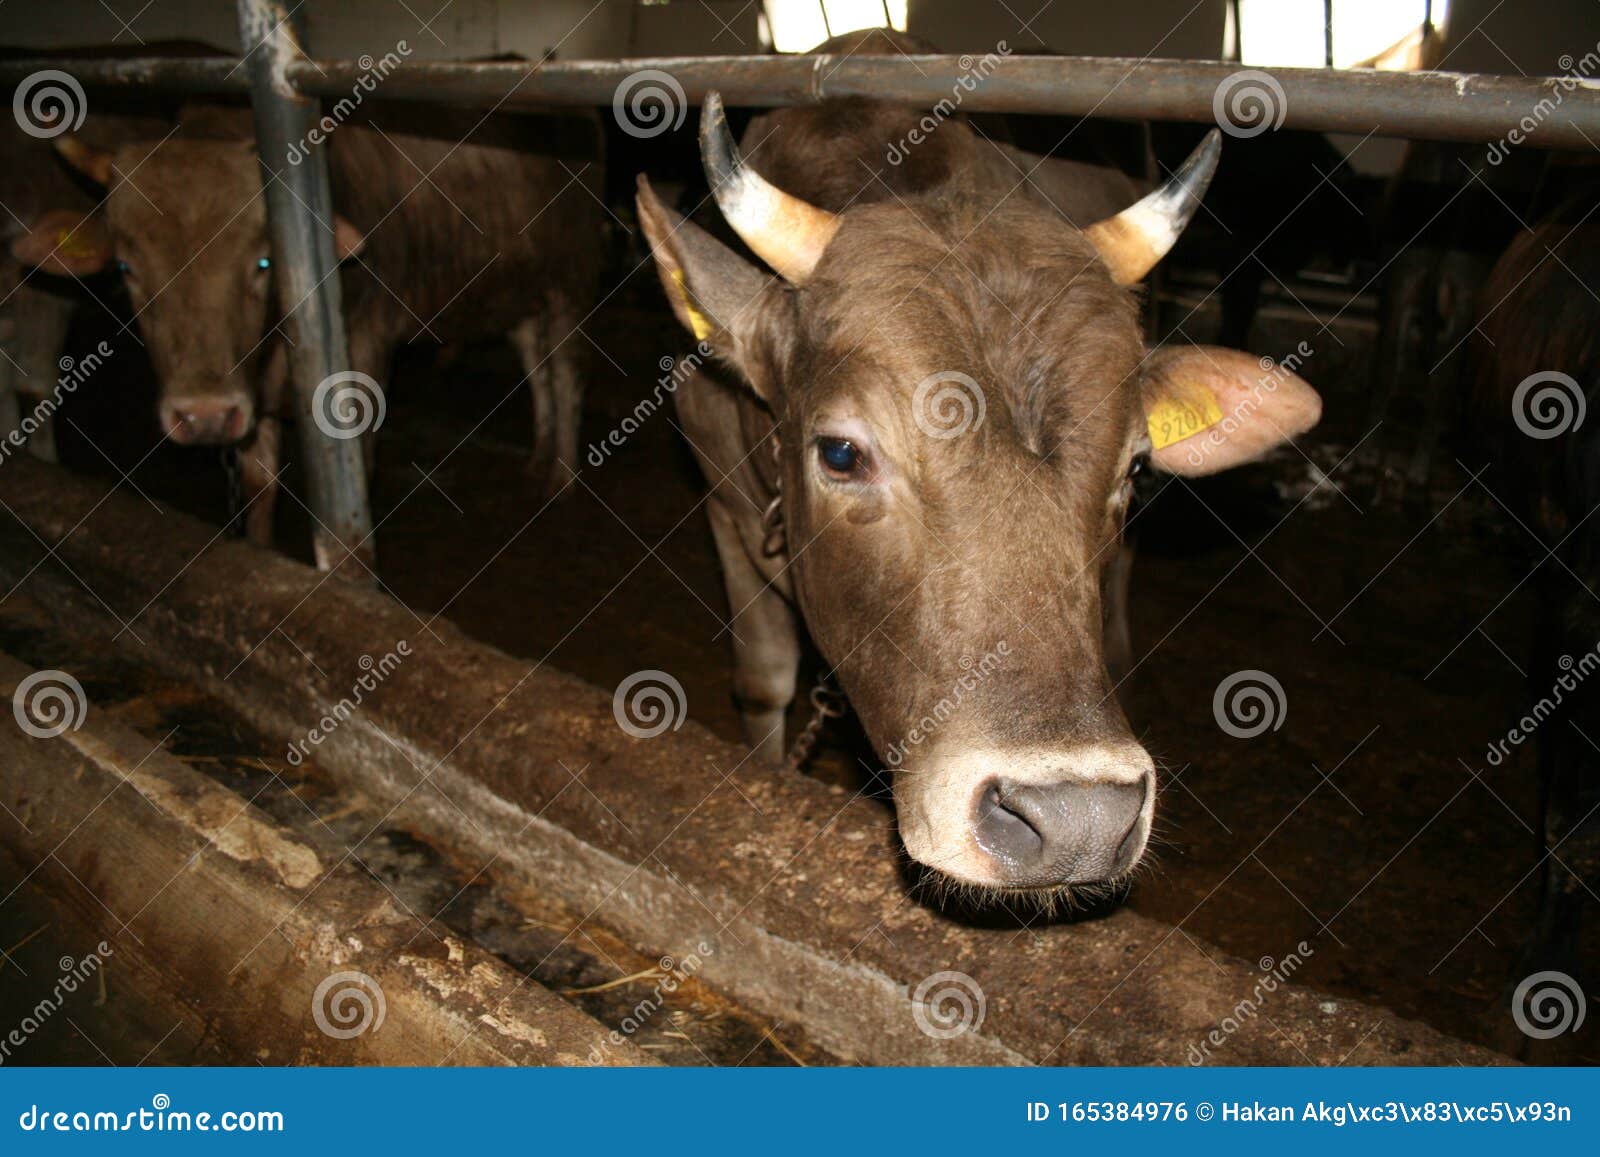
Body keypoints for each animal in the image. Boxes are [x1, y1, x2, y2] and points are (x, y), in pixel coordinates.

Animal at [13, 102, 602, 544]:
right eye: (126, 268)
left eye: (264, 261)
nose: (204, 415)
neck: (277, 348)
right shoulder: (250, 400)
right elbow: (258, 487)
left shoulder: (363, 359)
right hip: (519, 291)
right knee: (536, 364)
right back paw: (540, 455)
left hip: (572, 279)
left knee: (568, 373)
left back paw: (562, 477)